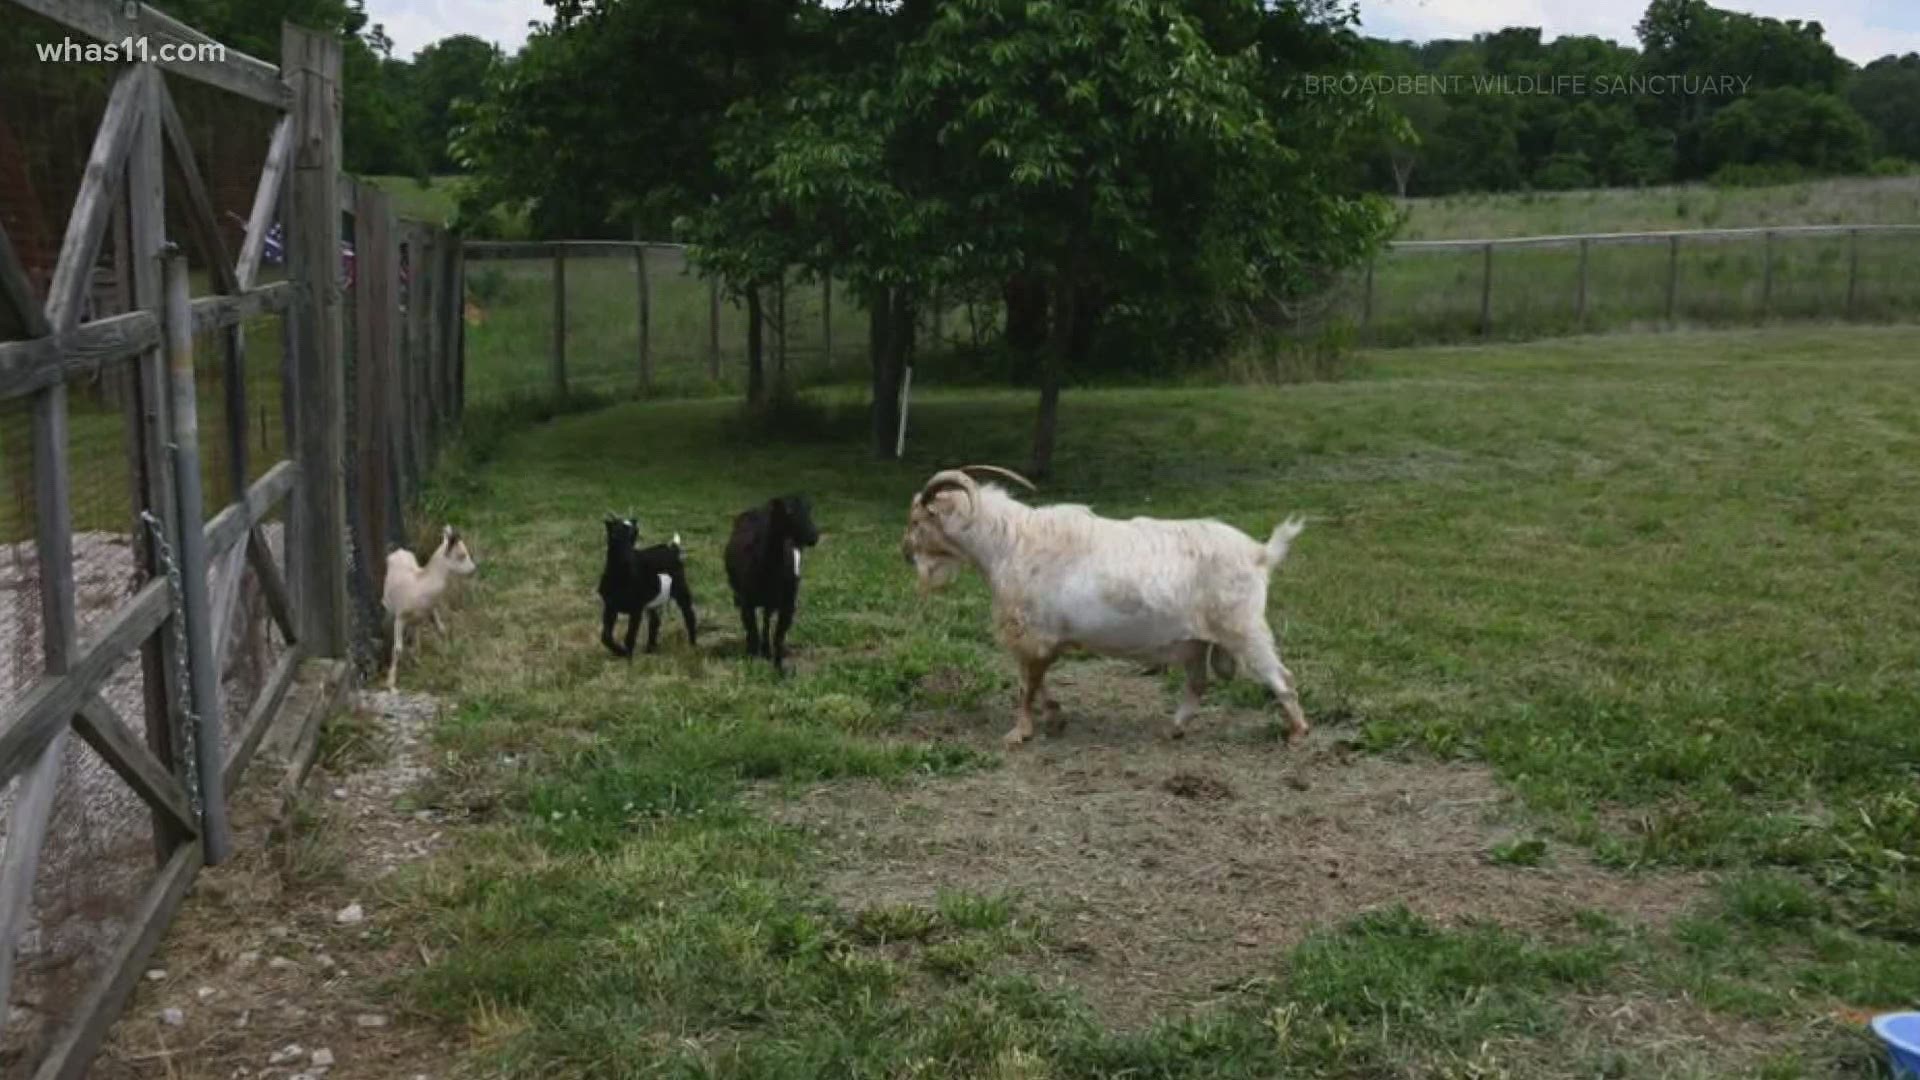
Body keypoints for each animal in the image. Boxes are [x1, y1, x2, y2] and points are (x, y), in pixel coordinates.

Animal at [383, 524, 478, 691]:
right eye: (461, 555)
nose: (473, 569)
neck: (421, 585)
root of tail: (398, 551)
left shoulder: (431, 610)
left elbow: (442, 630)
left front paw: (448, 656)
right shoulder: (400, 617)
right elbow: (398, 648)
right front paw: (391, 684)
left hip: (417, 618)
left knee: (416, 633)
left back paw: (416, 659)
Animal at [598, 516, 698, 658]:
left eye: (634, 533)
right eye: (614, 534)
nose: (627, 558)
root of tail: (671, 548)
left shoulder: (636, 609)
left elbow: (629, 636)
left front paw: (627, 656)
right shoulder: (610, 606)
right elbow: (606, 636)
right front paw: (620, 652)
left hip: (680, 588)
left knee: (689, 614)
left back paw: (692, 645)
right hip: (654, 600)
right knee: (655, 621)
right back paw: (650, 649)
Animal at [723, 495, 819, 673]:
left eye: (809, 510)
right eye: (788, 512)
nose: (813, 536)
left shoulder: (788, 606)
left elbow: (778, 637)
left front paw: (780, 667)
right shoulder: (747, 602)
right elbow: (752, 630)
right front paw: (752, 660)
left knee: (767, 620)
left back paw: (766, 650)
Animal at [900, 466, 1309, 750]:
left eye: (917, 520)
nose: (904, 553)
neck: (1008, 543)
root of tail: (1260, 553)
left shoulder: (1032, 634)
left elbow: (1025, 686)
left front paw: (1019, 733)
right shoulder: (1046, 639)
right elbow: (1039, 682)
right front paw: (1055, 717)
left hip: (1243, 630)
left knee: (1282, 679)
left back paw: (1297, 734)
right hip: (1195, 643)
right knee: (1197, 684)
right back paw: (1172, 729)